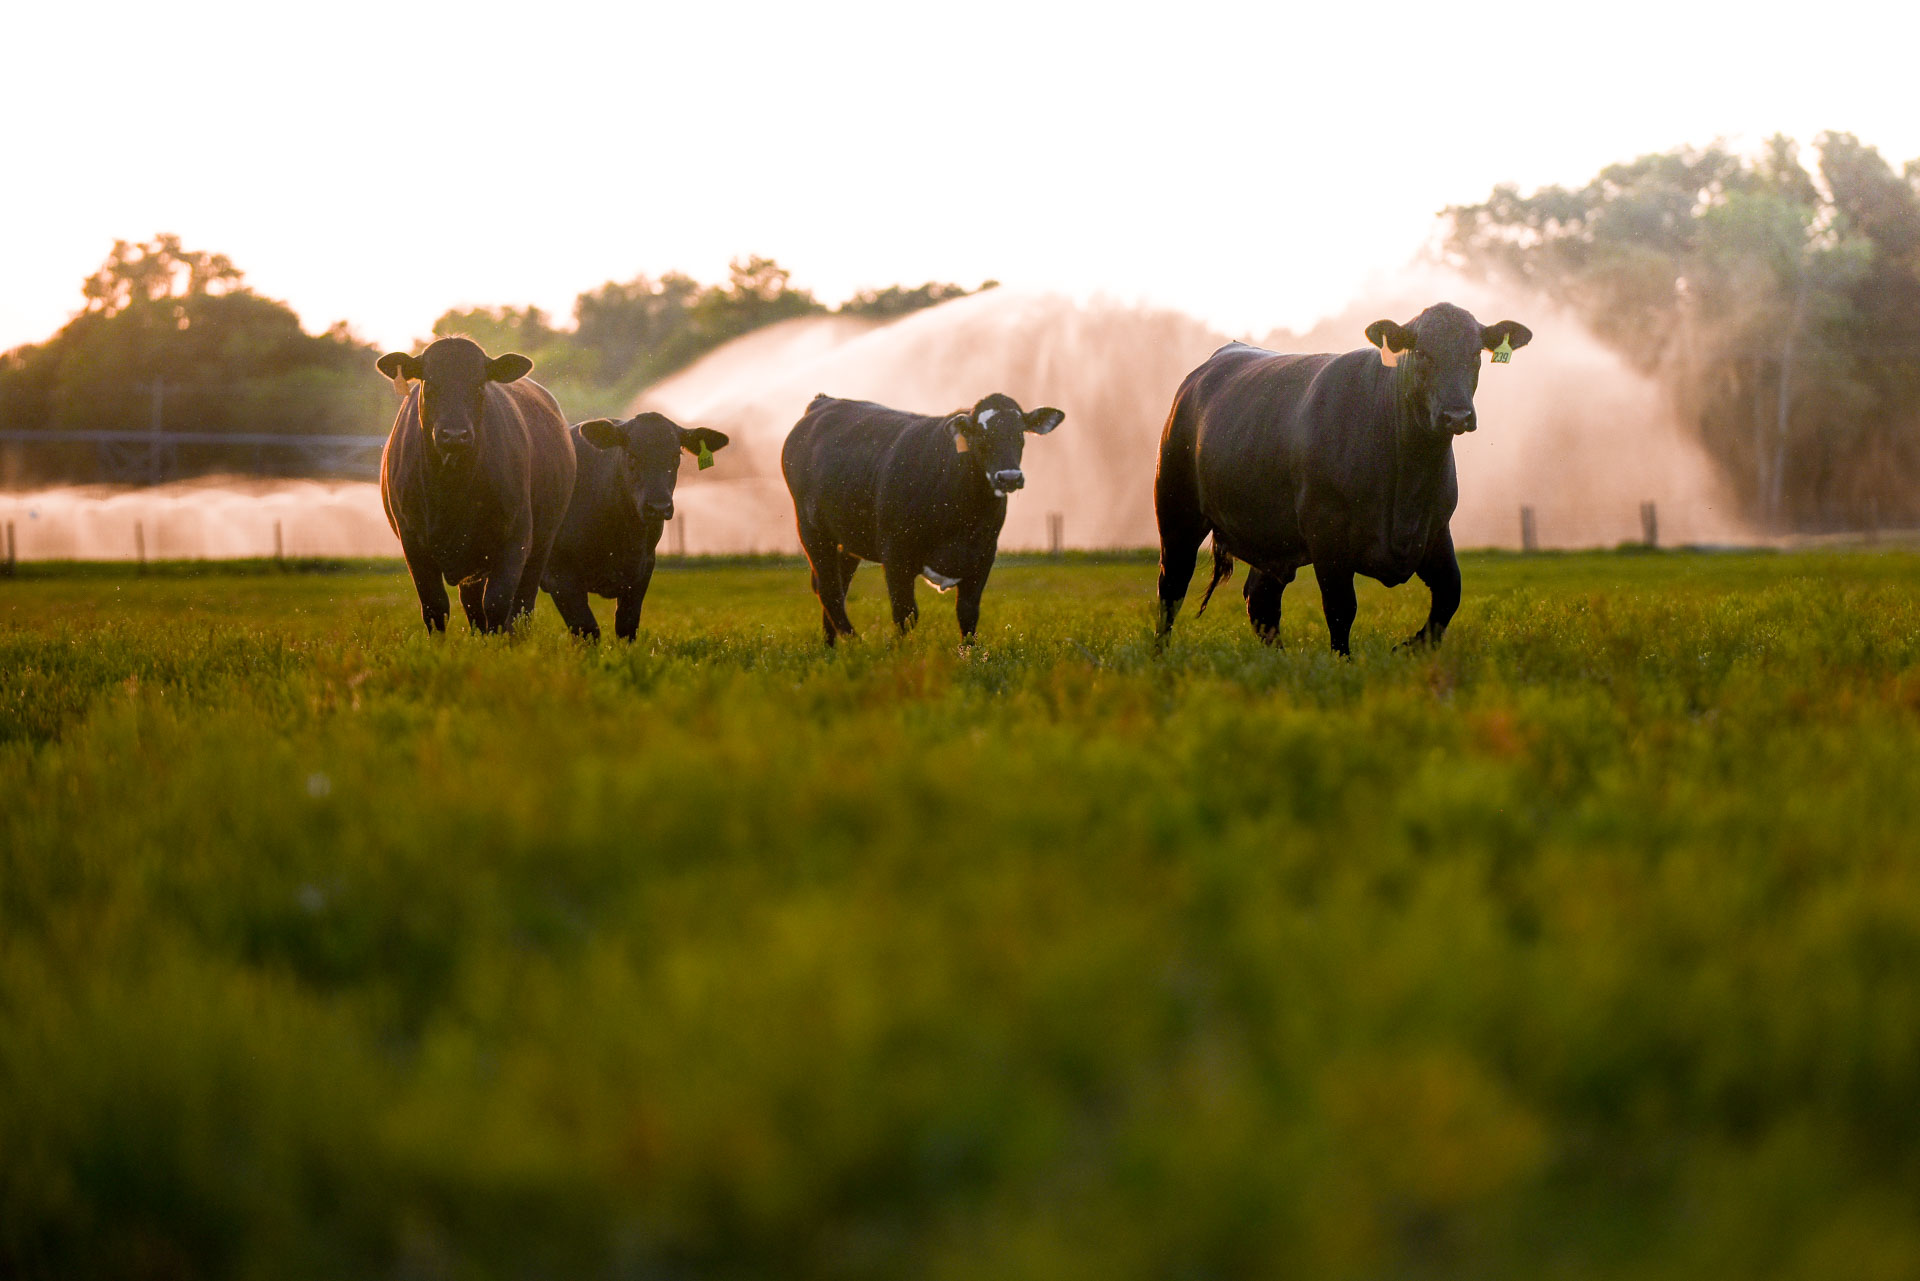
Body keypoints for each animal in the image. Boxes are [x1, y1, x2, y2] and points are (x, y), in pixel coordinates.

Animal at [376, 337, 576, 634]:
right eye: (429, 384)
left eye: (479, 385)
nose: (454, 435)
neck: (451, 487)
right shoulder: (413, 542)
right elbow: (435, 608)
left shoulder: (515, 538)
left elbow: (498, 604)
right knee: (472, 606)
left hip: (541, 545)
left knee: (522, 607)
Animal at [540, 411, 731, 640]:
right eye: (631, 455)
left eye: (676, 456)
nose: (658, 506)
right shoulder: (560, 575)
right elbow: (587, 628)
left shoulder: (642, 571)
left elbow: (627, 625)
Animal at [781, 392, 1065, 645]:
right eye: (980, 434)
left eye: (1020, 432)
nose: (1008, 477)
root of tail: (824, 401)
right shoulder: (896, 556)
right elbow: (906, 614)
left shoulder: (982, 557)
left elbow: (968, 614)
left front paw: (969, 656)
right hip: (812, 530)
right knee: (829, 590)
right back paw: (856, 644)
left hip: (847, 541)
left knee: (837, 589)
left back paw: (831, 648)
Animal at [1154, 303, 1531, 654]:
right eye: (1422, 352)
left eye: (1475, 353)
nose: (1457, 415)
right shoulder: (1327, 533)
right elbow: (1340, 608)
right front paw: (1343, 663)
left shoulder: (1436, 528)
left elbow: (1449, 596)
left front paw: (1405, 649)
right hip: (1177, 511)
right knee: (1171, 587)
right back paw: (1160, 656)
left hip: (1274, 536)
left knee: (1260, 599)